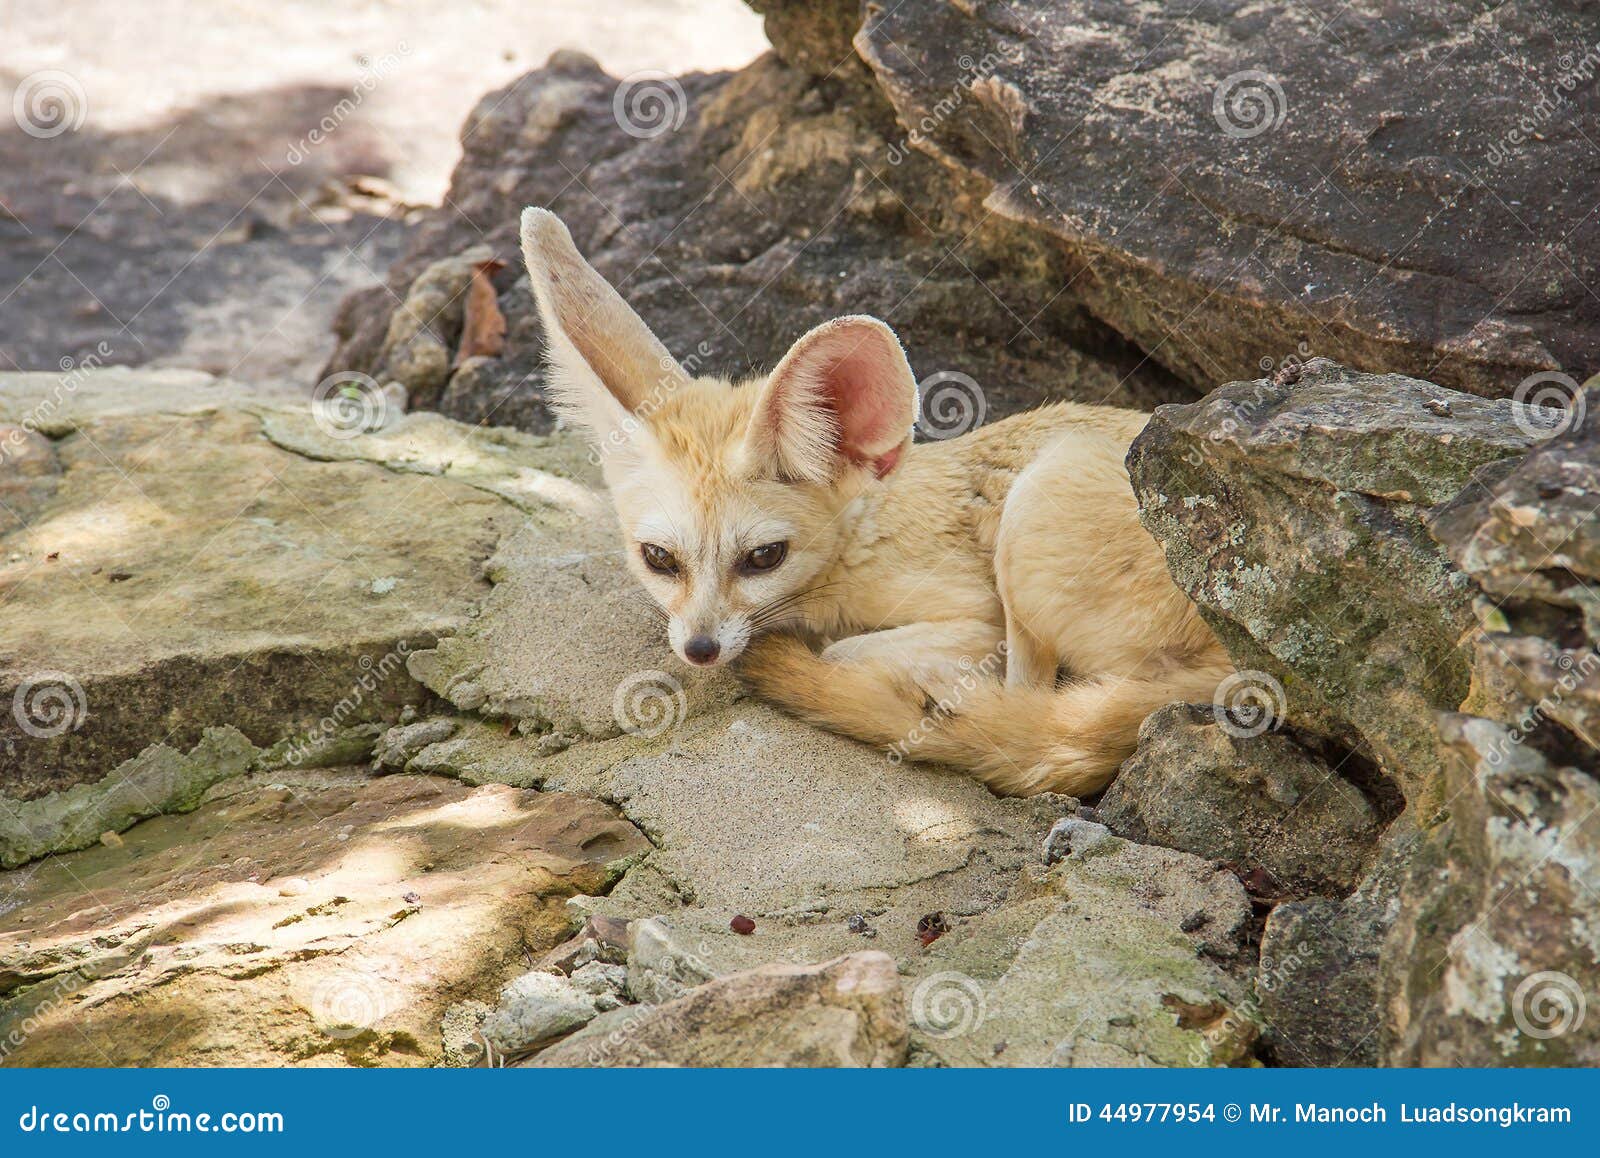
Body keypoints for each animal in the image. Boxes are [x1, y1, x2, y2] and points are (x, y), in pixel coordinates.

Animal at [519, 207, 1234, 796]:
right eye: (659, 559)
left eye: (765, 558)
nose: (700, 650)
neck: (856, 545)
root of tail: (1239, 662)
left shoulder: (974, 614)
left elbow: (846, 651)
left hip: (1037, 507)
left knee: (1032, 707)